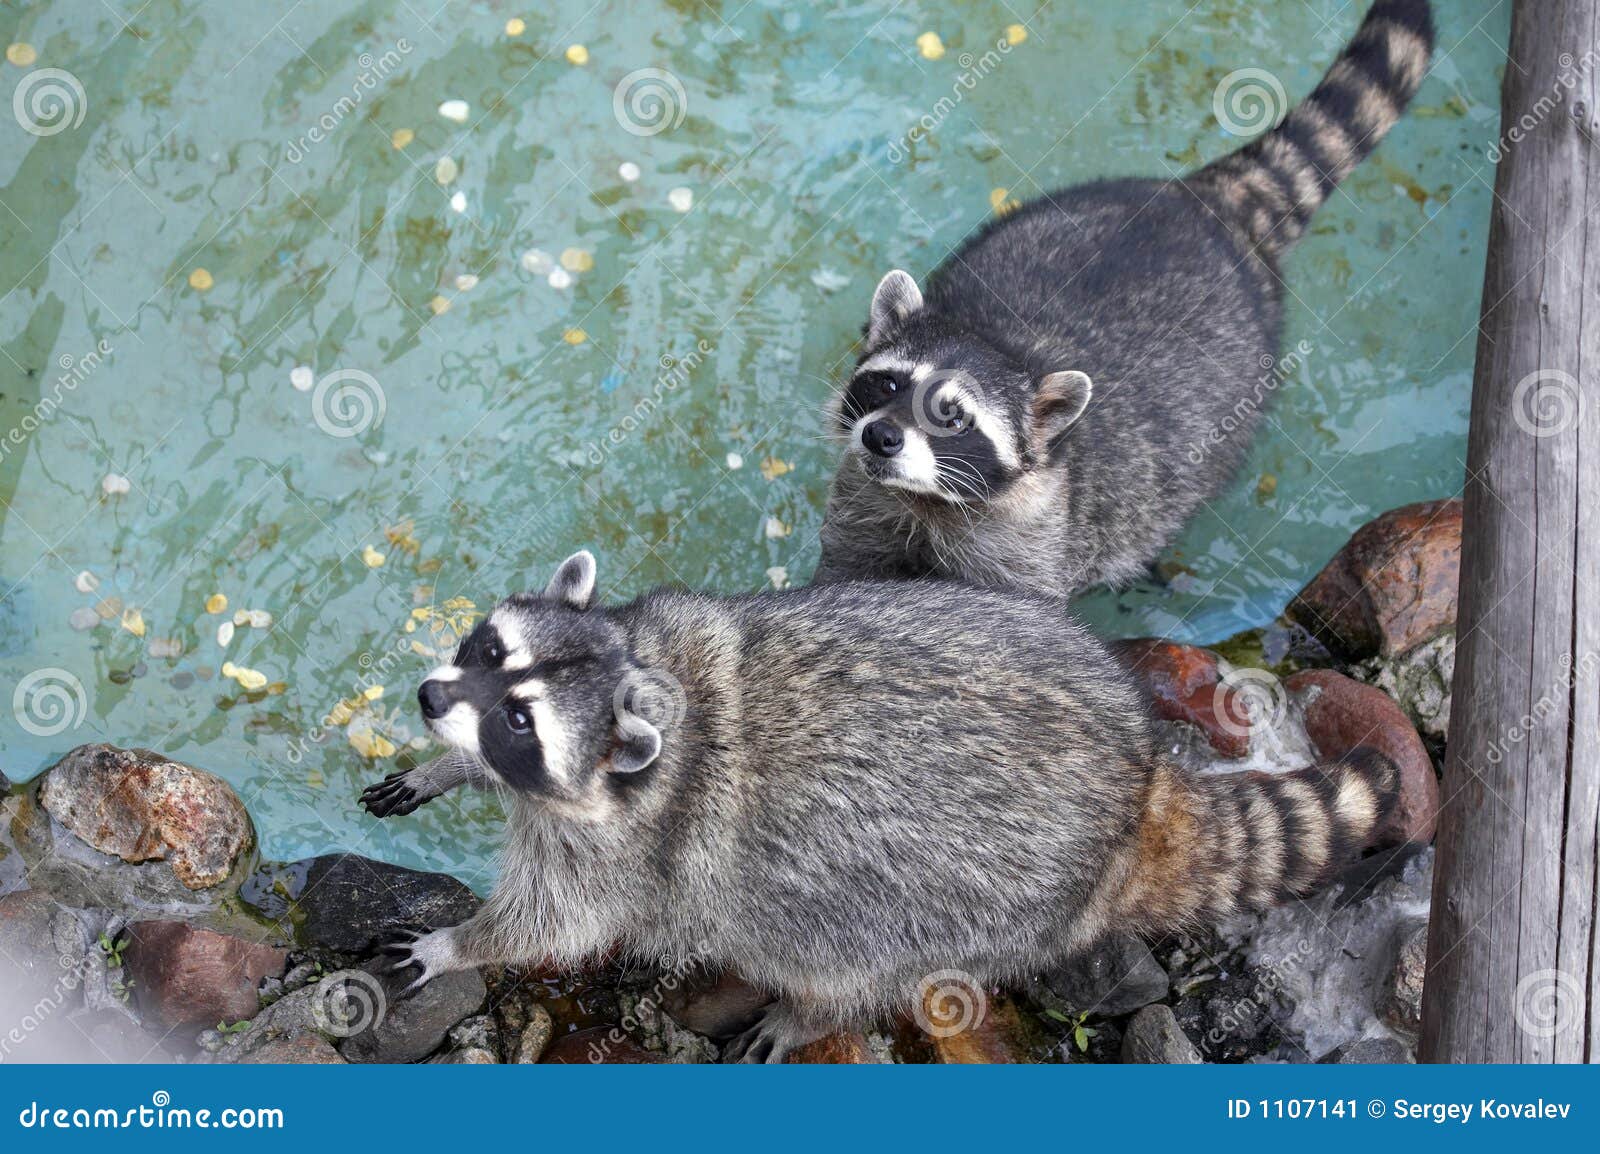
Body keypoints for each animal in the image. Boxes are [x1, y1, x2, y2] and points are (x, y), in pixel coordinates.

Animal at [363, 551, 1407, 1061]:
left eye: (521, 720)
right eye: (489, 653)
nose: (430, 697)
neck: (640, 673)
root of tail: (1136, 788)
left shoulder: (625, 851)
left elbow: (555, 922)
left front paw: (457, 943)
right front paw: (444, 768)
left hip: (970, 912)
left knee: (849, 962)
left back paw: (811, 1013)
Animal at [815, 0, 1435, 596]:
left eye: (954, 417)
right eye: (888, 384)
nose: (881, 436)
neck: (922, 500)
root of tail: (1205, 201)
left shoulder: (1034, 536)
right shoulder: (865, 504)